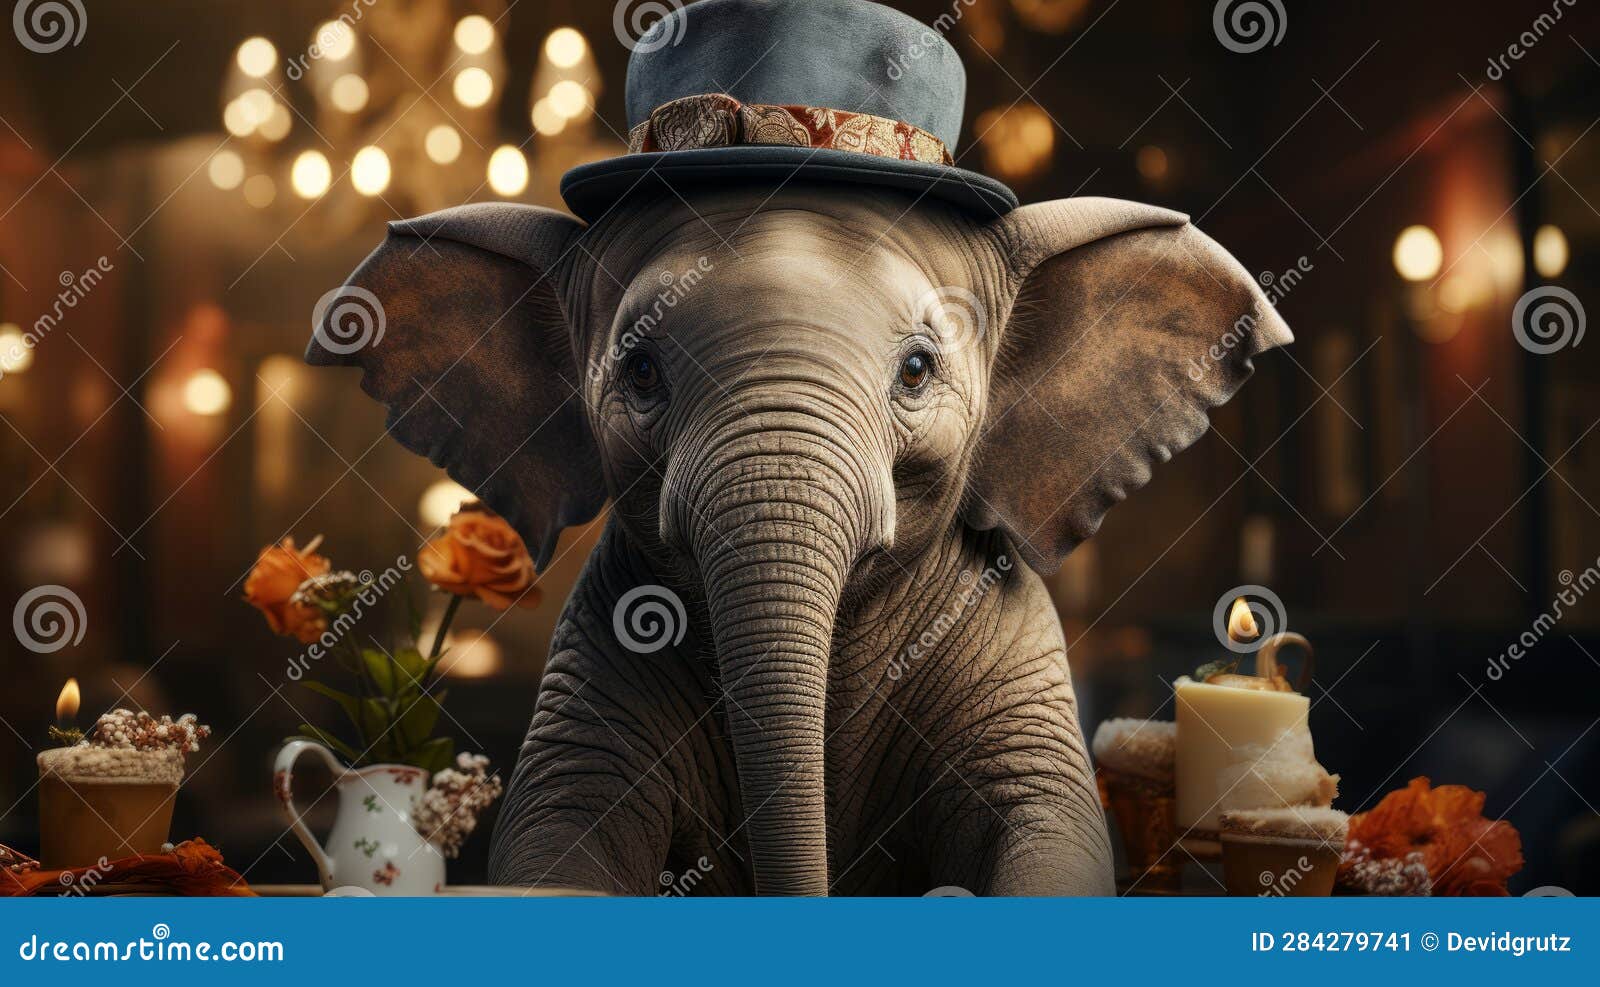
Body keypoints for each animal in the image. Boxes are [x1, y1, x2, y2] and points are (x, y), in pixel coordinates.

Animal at [307, 185, 1292, 895]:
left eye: (917, 369)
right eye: (641, 370)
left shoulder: (1011, 649)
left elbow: (1050, 830)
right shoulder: (595, 661)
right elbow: (556, 838)